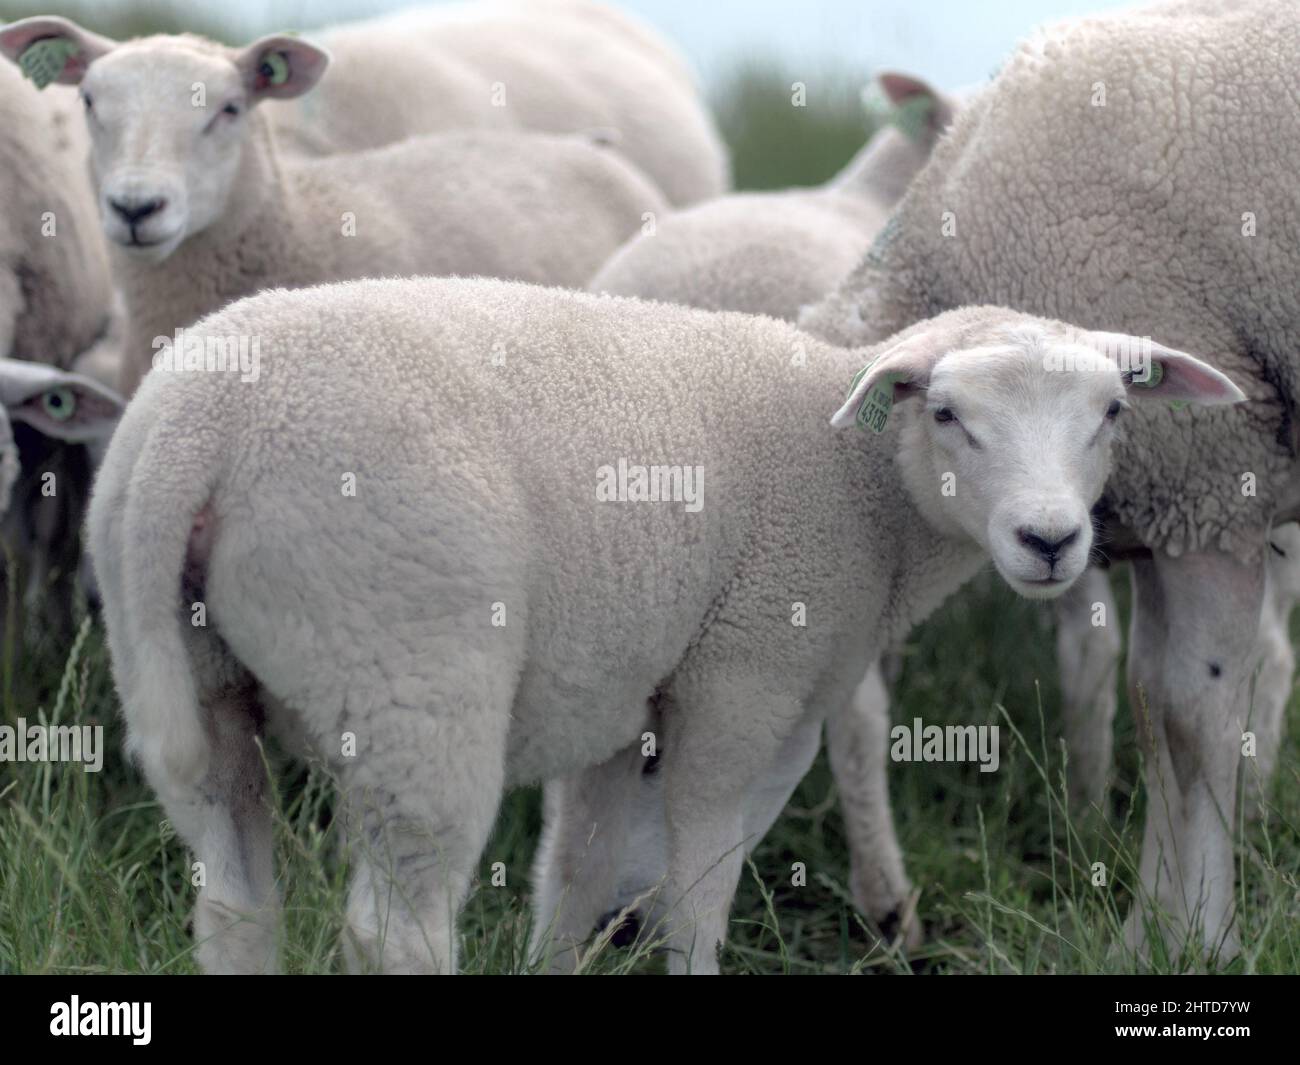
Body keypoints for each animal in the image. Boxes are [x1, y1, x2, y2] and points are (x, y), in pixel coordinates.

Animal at [85, 275, 1240, 973]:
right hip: (412, 674)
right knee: (394, 928)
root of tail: (197, 424)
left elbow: (575, 877)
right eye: (949, 415)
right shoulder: (745, 681)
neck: (858, 479)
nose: (1050, 540)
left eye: (1112, 414)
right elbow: (696, 884)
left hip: (196, 676)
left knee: (235, 903)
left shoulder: (624, 694)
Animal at [798, 0, 1300, 960]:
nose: (888, 918)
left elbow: (1197, 715)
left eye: (1113, 407)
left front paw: (1205, 936)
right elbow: (1151, 706)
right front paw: (1147, 931)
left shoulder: (1213, 481)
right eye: (948, 415)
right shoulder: (1161, 509)